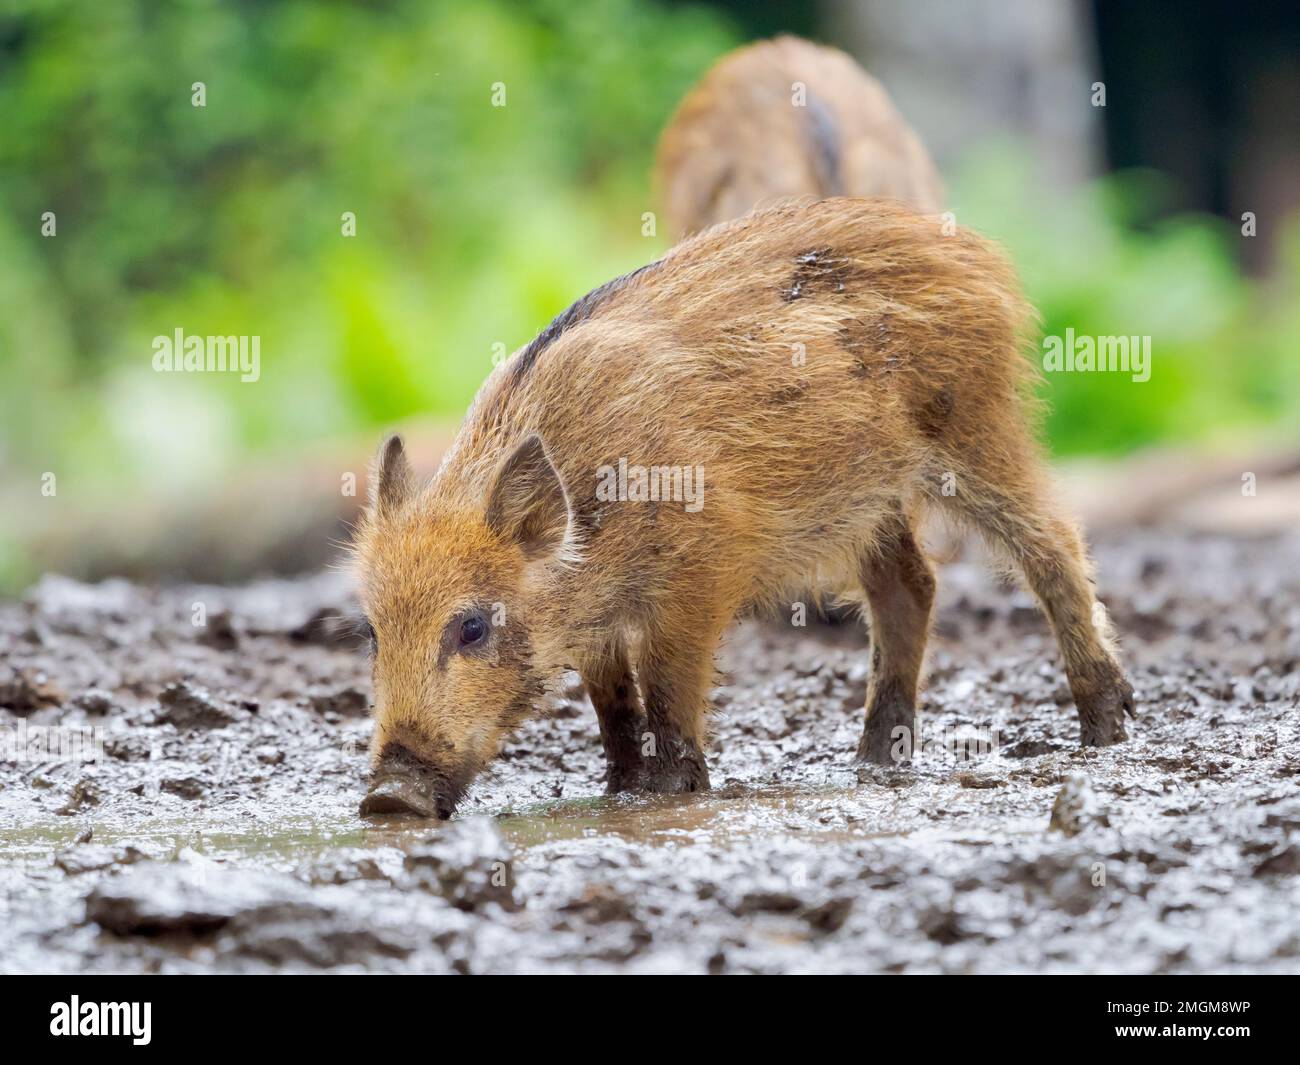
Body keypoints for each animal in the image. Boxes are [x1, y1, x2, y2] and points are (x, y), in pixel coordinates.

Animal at [353, 197, 1135, 819]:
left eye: (473, 626)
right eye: (373, 632)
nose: (390, 796)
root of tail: (974, 249)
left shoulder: (700, 574)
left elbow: (668, 684)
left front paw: (671, 791)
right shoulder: (598, 617)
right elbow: (613, 699)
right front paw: (619, 789)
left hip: (976, 430)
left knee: (1052, 542)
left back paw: (1107, 728)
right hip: (872, 498)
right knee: (910, 587)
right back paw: (874, 761)